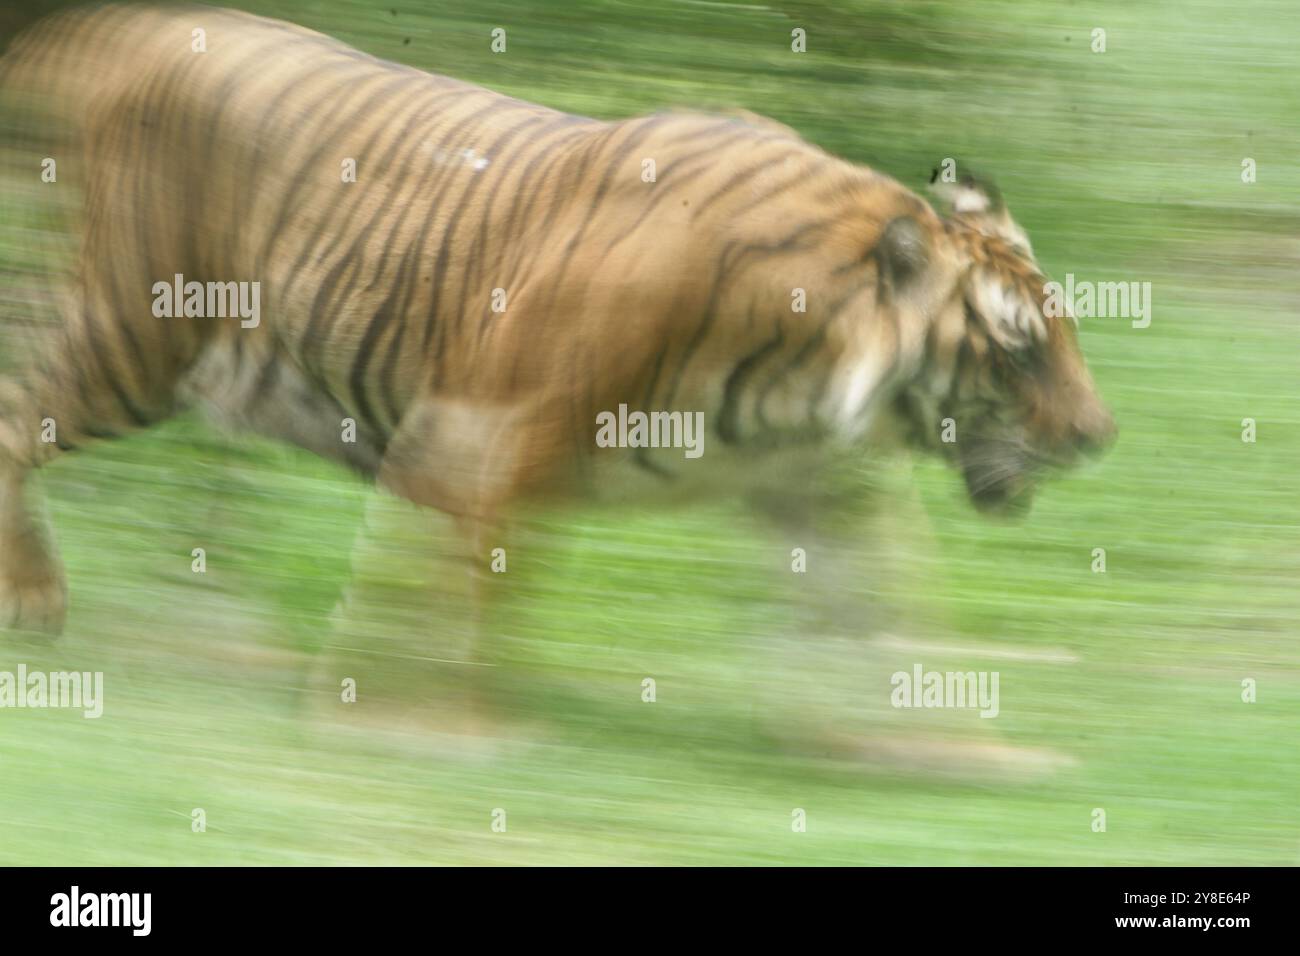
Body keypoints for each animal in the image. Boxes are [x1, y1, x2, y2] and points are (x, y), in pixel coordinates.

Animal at [0, 3, 1114, 635]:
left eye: (1062, 334)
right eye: (1019, 353)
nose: (1101, 437)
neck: (810, 369)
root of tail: (136, 26)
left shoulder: (822, 483)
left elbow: (879, 613)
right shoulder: (481, 435)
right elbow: (457, 589)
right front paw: (423, 724)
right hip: (134, 334)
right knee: (15, 415)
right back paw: (37, 606)